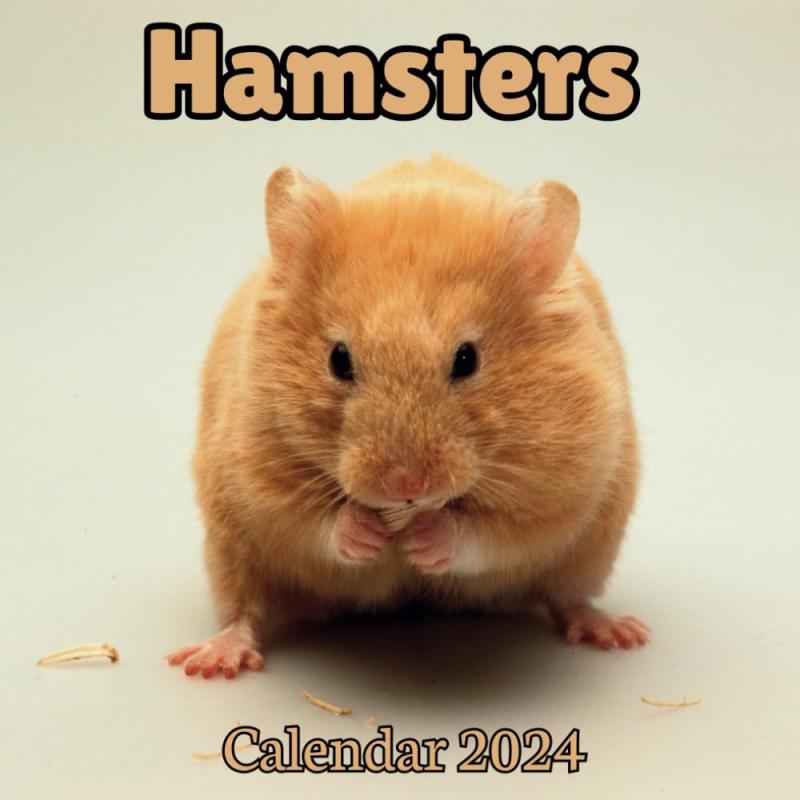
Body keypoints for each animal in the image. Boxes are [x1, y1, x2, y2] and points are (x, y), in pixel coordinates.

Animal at [167, 155, 648, 679]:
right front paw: (371, 532)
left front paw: (422, 540)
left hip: (590, 550)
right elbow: (310, 523)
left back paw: (620, 633)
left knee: (568, 598)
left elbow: (493, 534)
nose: (406, 487)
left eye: (467, 359)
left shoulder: (564, 486)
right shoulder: (255, 473)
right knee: (245, 610)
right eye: (339, 359)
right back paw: (208, 662)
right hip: (229, 550)